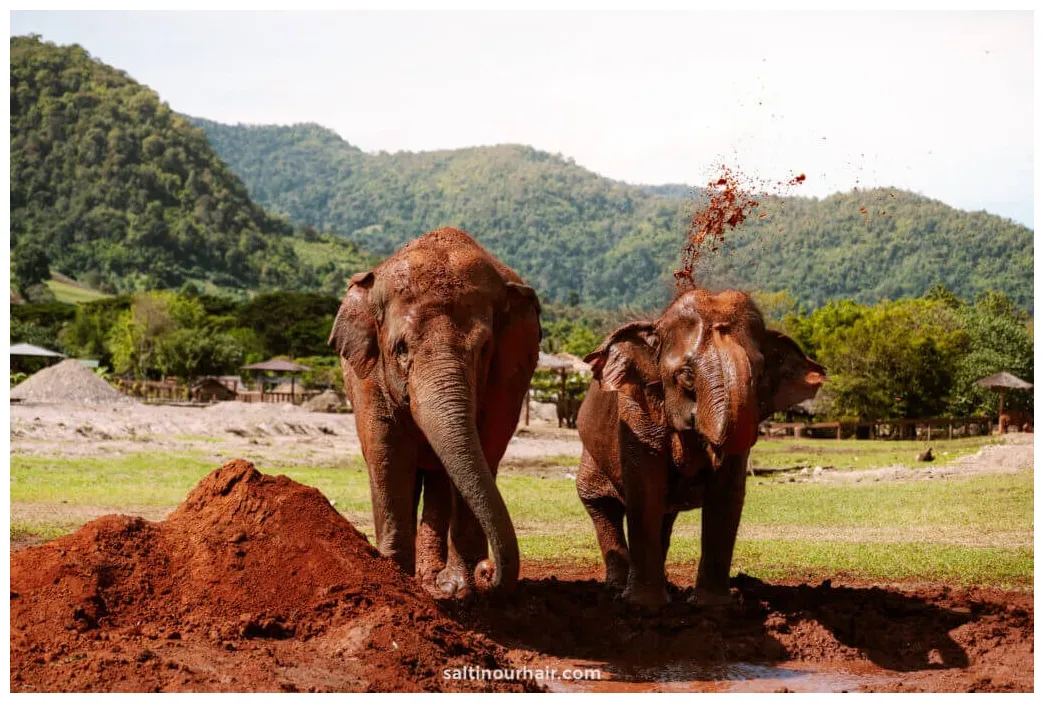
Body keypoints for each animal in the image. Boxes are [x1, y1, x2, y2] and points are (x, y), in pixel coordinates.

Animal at [328, 228, 541, 596]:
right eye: (400, 348)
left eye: (484, 348)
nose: (488, 570)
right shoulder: (366, 374)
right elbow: (386, 449)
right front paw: (395, 581)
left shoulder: (510, 377)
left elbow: (487, 444)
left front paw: (464, 590)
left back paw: (438, 581)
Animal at [575, 288, 825, 609]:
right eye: (686, 375)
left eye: (758, 374)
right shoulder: (636, 412)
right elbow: (645, 490)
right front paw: (644, 605)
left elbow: (727, 493)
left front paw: (712, 606)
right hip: (591, 455)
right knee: (600, 503)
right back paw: (617, 588)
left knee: (664, 517)